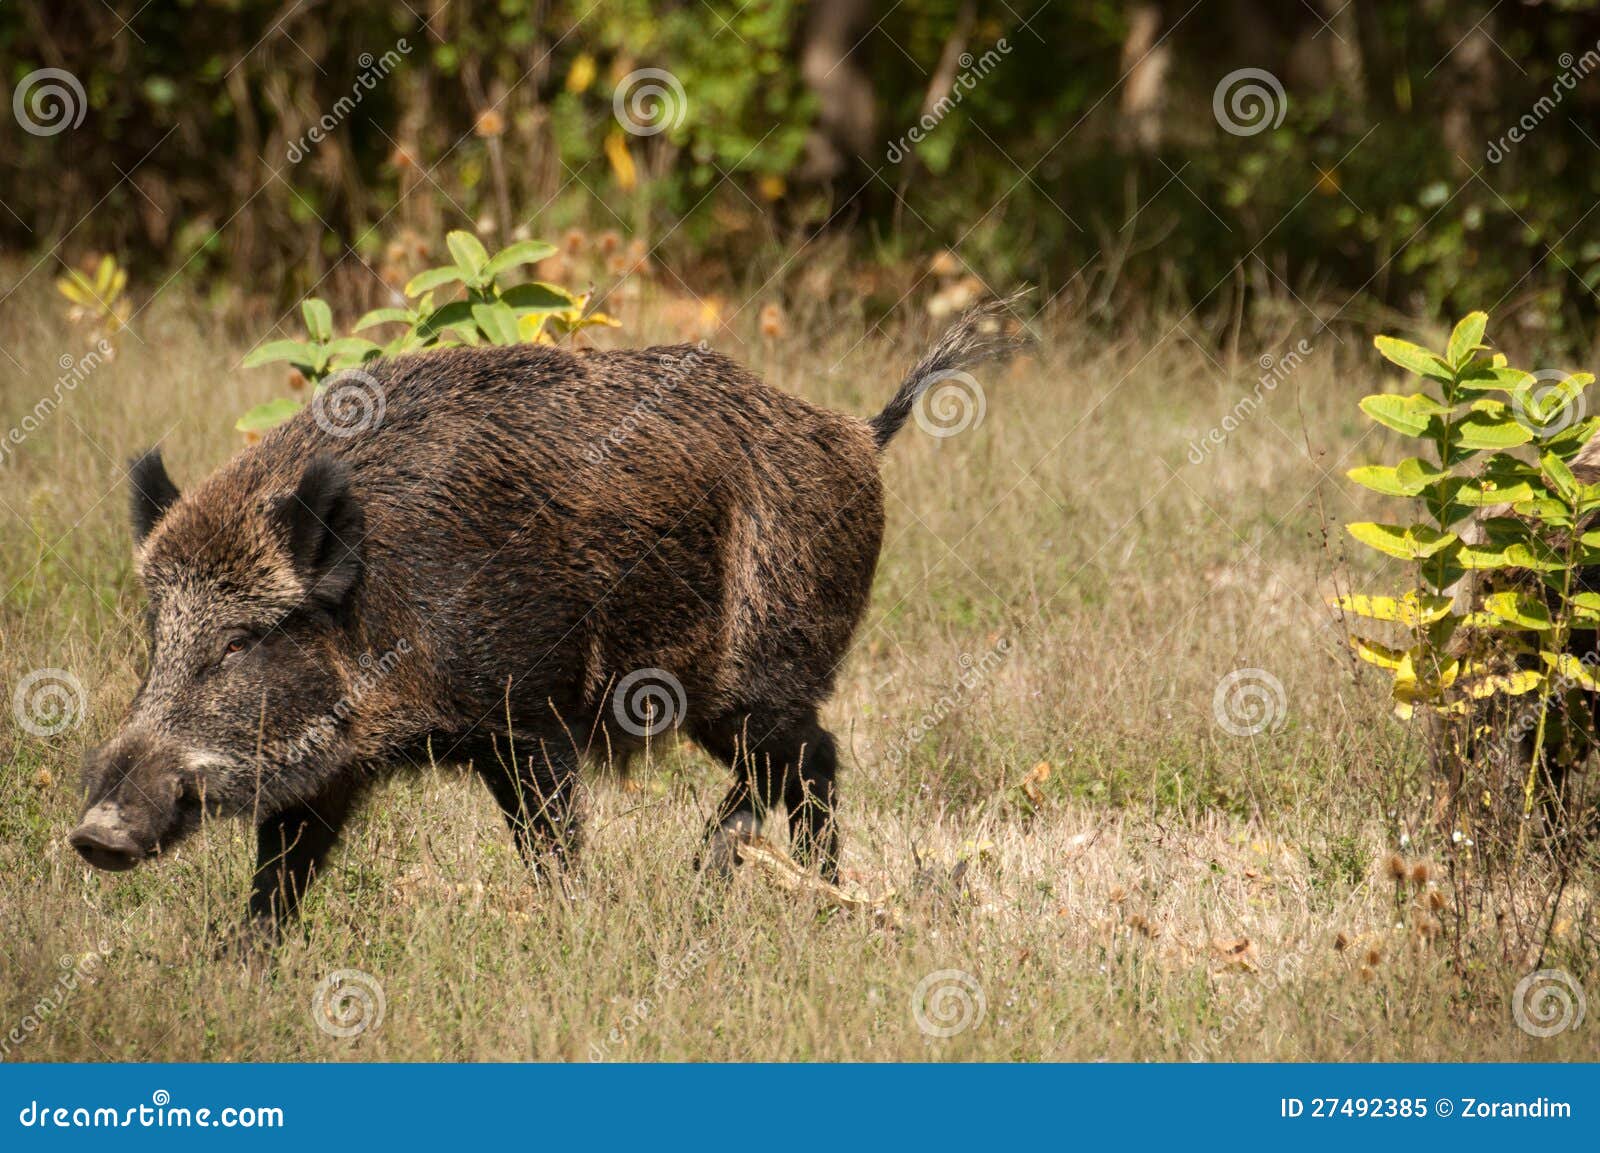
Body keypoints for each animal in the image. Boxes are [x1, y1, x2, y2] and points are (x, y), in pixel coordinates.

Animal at [71, 296, 1024, 939]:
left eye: (242, 639)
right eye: (157, 633)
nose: (93, 832)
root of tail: (860, 434)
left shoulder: (526, 717)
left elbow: (550, 840)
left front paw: (571, 927)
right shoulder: (334, 761)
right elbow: (283, 867)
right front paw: (243, 960)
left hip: (764, 669)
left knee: (811, 756)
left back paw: (745, 879)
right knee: (796, 764)